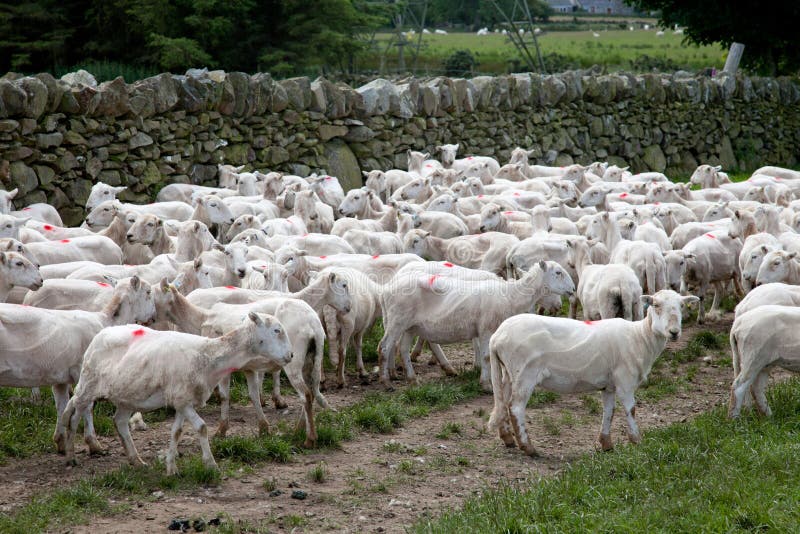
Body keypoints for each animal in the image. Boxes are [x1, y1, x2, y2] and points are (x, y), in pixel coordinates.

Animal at [58, 312, 292, 473]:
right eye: (276, 330)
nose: (291, 355)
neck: (208, 356)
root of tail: (102, 332)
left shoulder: (182, 400)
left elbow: (176, 432)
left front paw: (171, 467)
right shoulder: (183, 400)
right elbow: (202, 427)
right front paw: (211, 464)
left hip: (126, 395)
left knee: (120, 421)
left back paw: (136, 460)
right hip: (88, 384)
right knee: (75, 415)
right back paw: (70, 455)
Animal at [379, 260, 575, 391]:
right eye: (558, 272)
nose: (573, 289)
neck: (510, 295)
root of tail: (386, 289)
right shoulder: (486, 329)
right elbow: (486, 356)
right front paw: (486, 384)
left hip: (410, 326)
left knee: (402, 349)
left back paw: (412, 379)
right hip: (397, 320)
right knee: (384, 347)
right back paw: (386, 381)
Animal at [488, 289, 698, 455]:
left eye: (681, 306)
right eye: (656, 305)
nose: (674, 332)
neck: (640, 337)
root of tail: (497, 337)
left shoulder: (609, 385)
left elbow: (609, 411)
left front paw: (606, 444)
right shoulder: (625, 381)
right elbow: (631, 409)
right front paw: (637, 441)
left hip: (508, 373)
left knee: (503, 402)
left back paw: (507, 439)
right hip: (525, 373)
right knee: (516, 407)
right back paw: (528, 447)